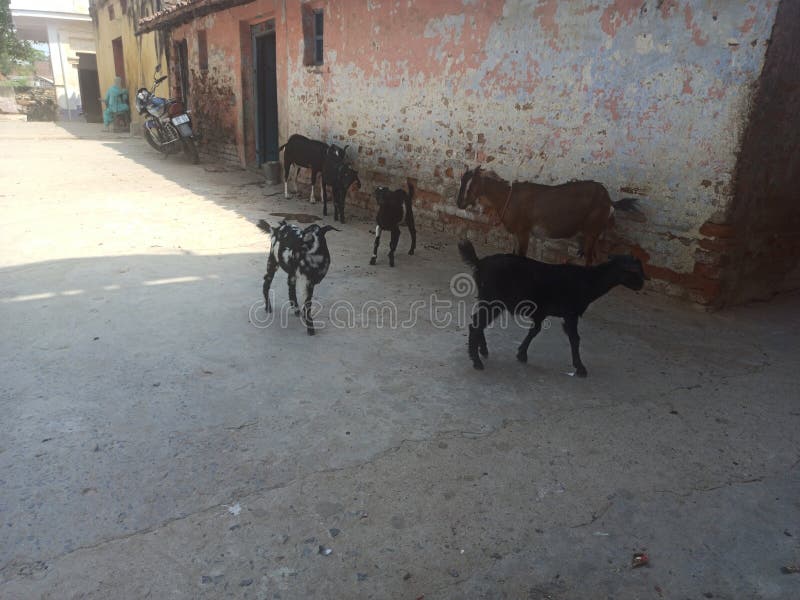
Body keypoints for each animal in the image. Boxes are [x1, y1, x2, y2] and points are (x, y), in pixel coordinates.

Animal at [458, 240, 647, 376]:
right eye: (634, 272)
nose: (641, 285)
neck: (589, 282)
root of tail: (479, 262)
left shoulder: (541, 312)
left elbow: (534, 331)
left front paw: (522, 354)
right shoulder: (571, 313)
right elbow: (575, 339)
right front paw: (580, 368)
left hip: (488, 299)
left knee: (477, 322)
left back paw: (483, 350)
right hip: (493, 300)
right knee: (476, 324)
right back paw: (477, 361)